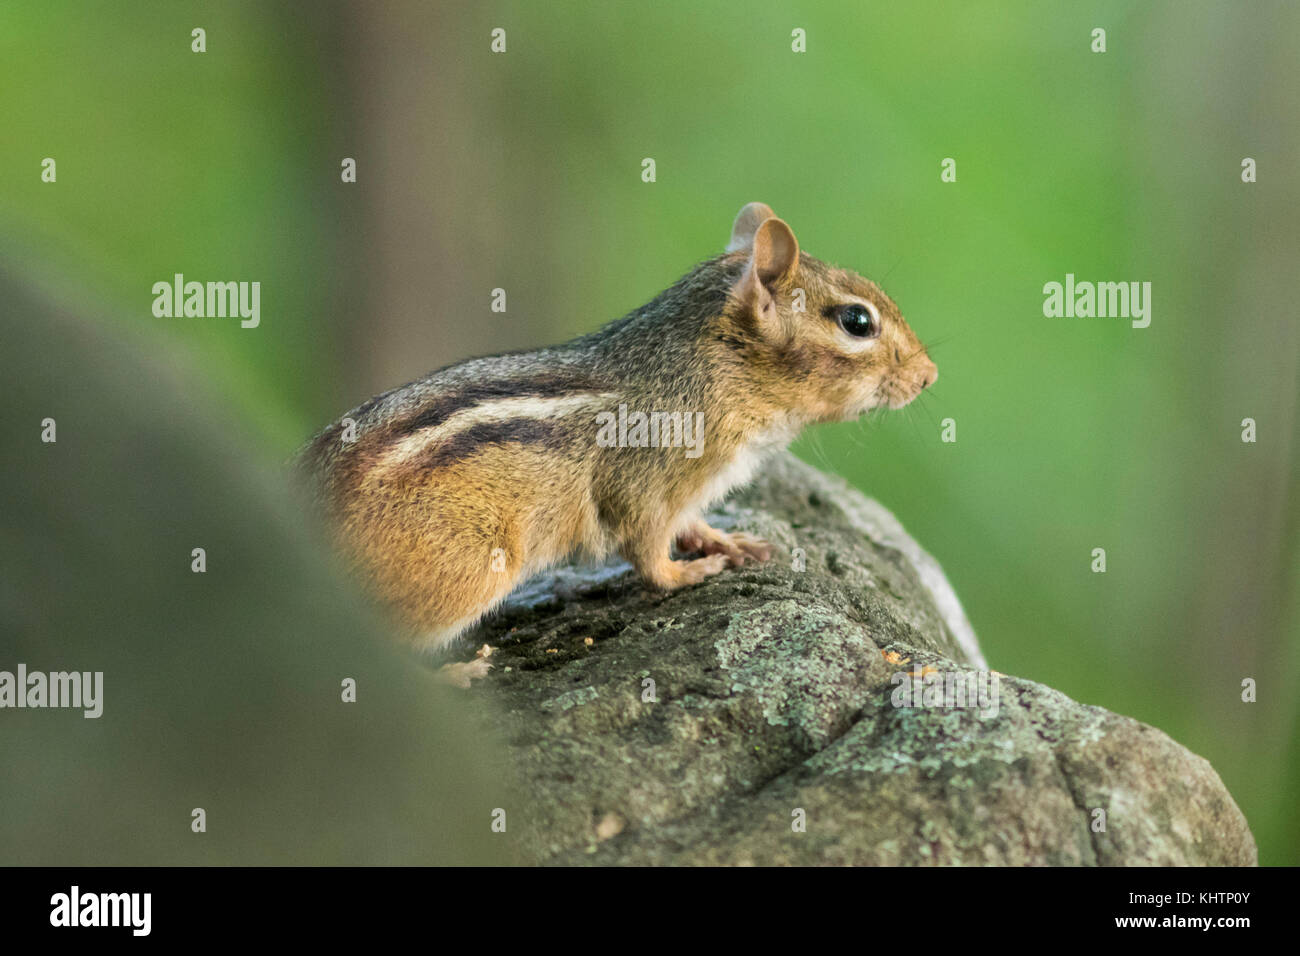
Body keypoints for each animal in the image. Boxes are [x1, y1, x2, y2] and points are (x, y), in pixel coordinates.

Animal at [298, 203, 936, 684]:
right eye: (857, 322)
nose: (930, 376)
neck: (710, 371)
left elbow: (689, 523)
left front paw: (724, 540)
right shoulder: (645, 487)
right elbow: (648, 552)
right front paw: (688, 575)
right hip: (468, 567)